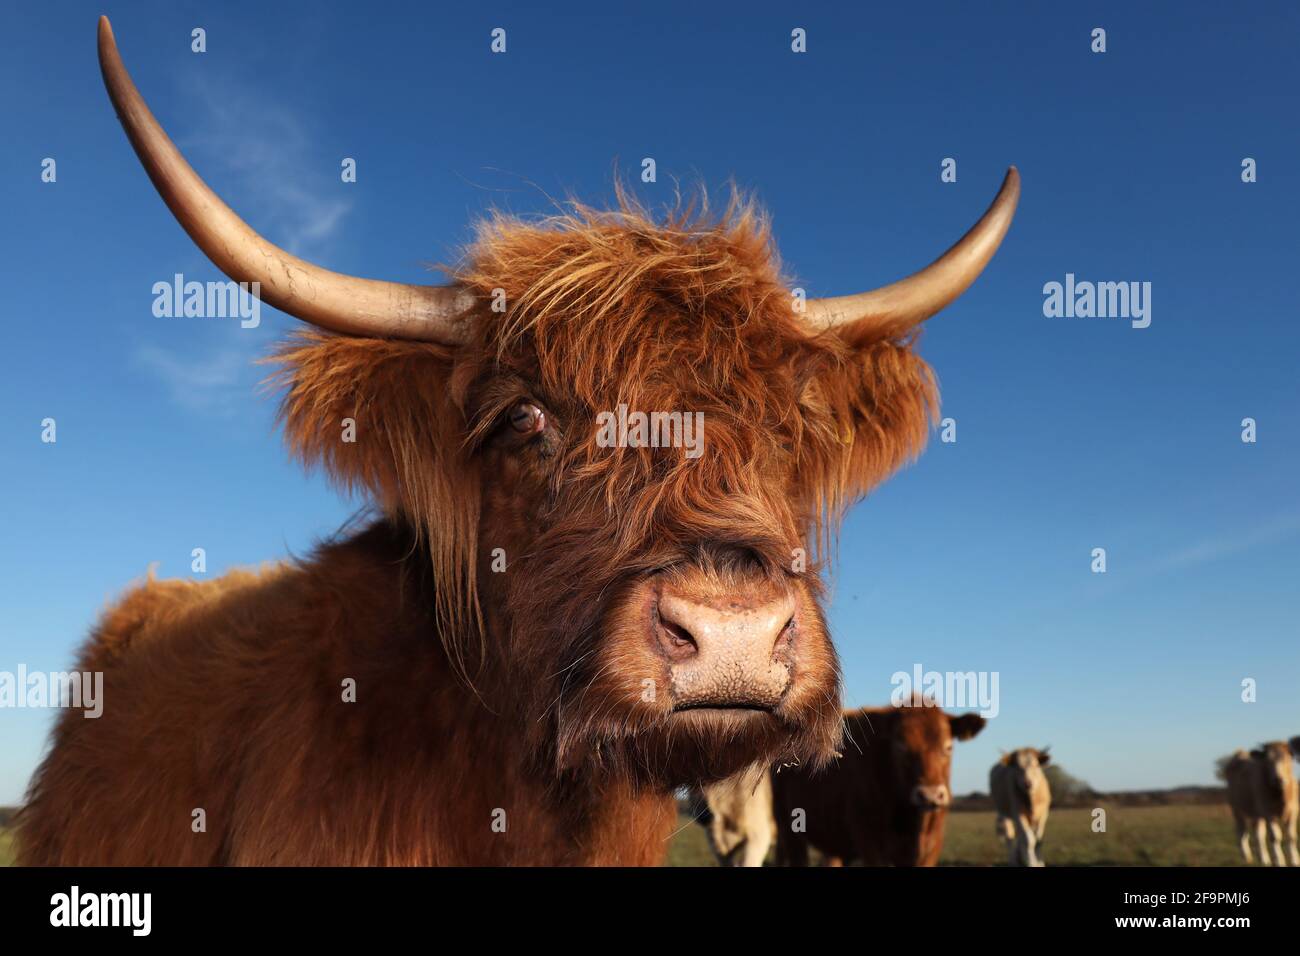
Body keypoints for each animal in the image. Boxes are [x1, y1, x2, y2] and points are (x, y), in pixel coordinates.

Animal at [769, 705, 986, 866]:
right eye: (900, 747)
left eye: (948, 747)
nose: (930, 795)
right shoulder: (870, 843)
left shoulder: (930, 848)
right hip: (789, 828)